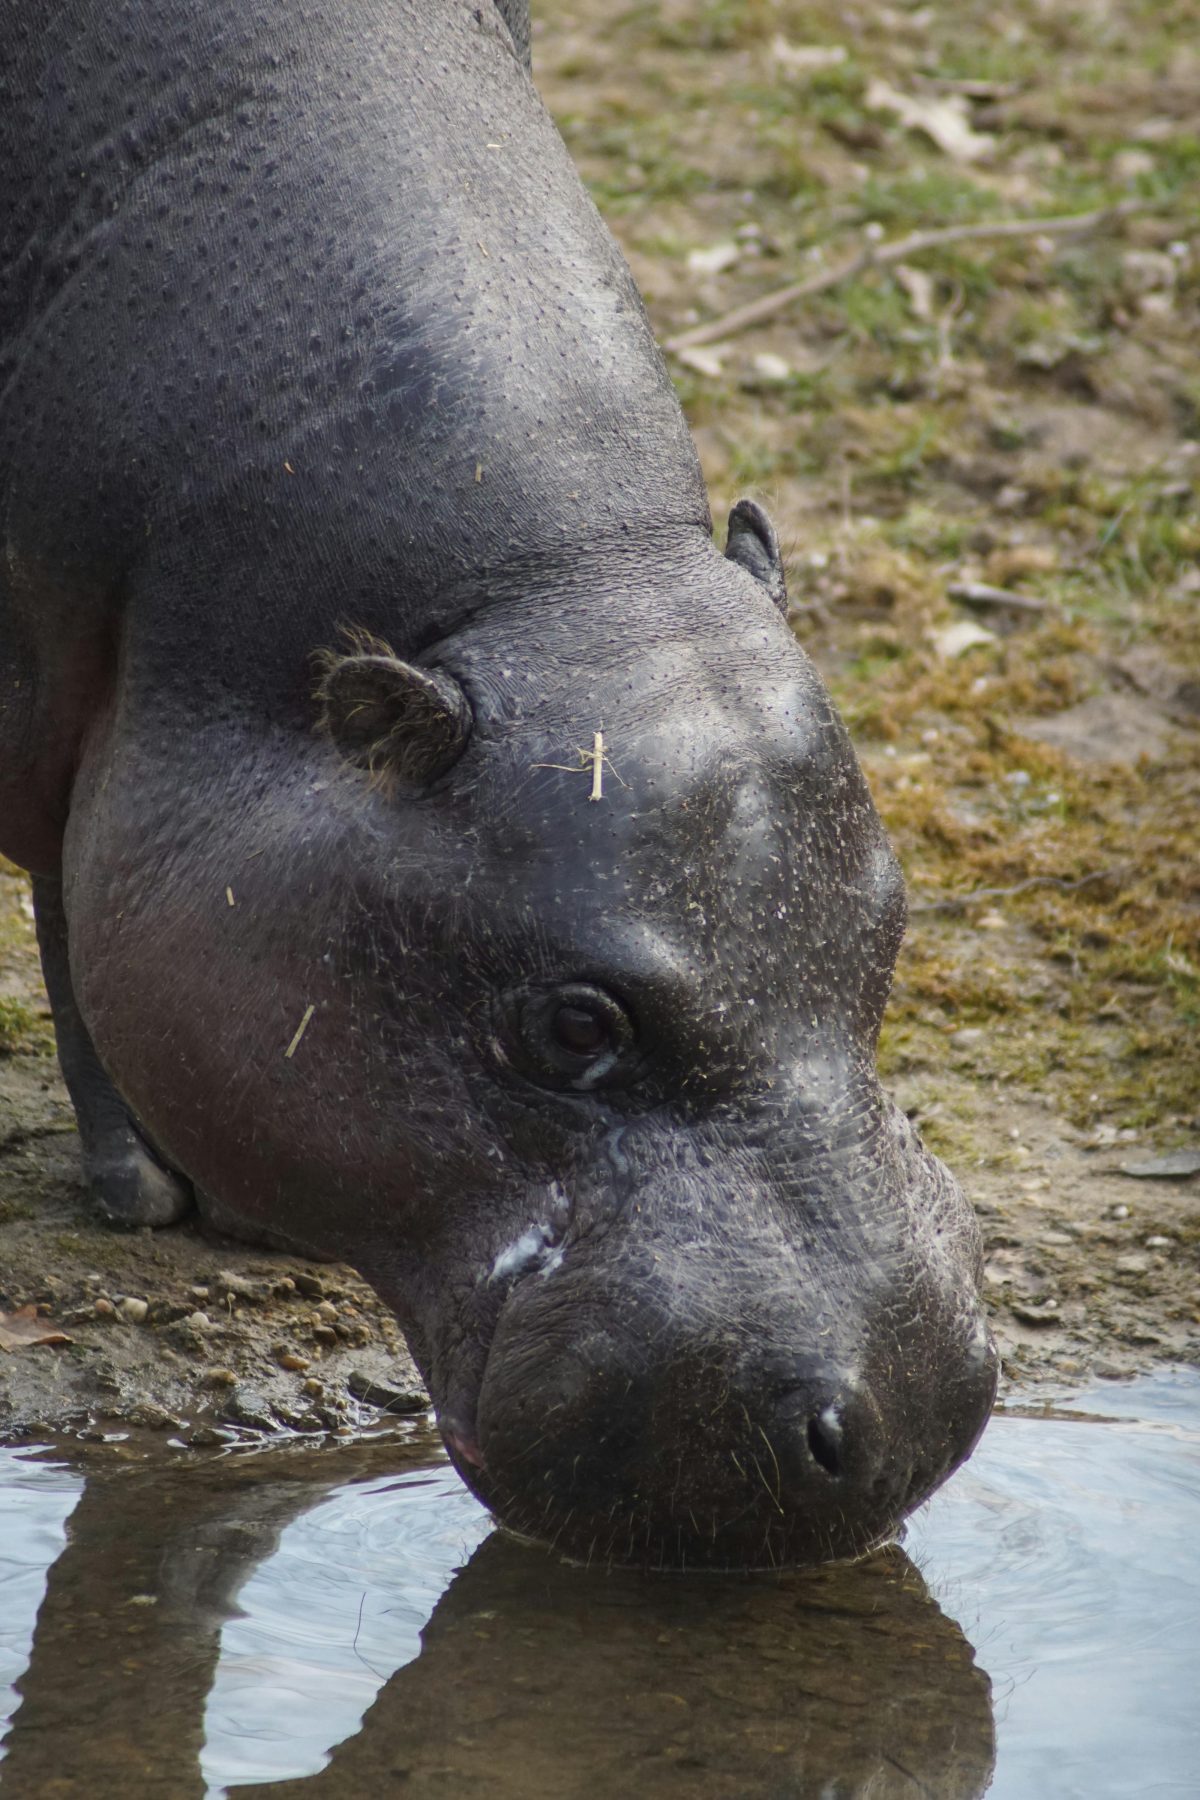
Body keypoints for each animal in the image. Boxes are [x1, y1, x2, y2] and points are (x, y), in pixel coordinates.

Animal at [0, 0, 997, 1566]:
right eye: (574, 1023)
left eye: (889, 926)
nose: (896, 1418)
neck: (554, 581)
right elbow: (63, 867)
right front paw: (139, 1190)